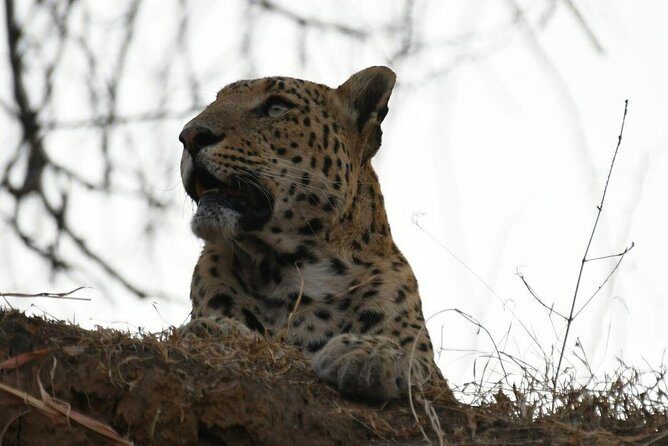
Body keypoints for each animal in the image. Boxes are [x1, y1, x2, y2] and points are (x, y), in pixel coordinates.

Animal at [178, 66, 443, 402]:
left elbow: (414, 359)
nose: (189, 136)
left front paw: (371, 353)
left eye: (277, 107)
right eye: (213, 103)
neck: (294, 274)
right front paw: (217, 329)